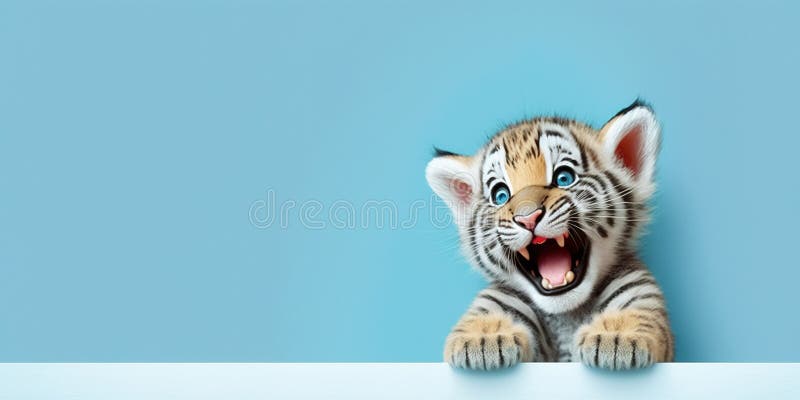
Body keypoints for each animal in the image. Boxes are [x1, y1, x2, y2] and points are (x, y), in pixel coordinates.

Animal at [425, 100, 674, 370]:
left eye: (564, 178)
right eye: (500, 195)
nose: (528, 218)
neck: (567, 312)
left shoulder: (639, 287)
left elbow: (634, 310)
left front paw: (615, 337)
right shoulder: (498, 297)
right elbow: (487, 311)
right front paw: (484, 339)